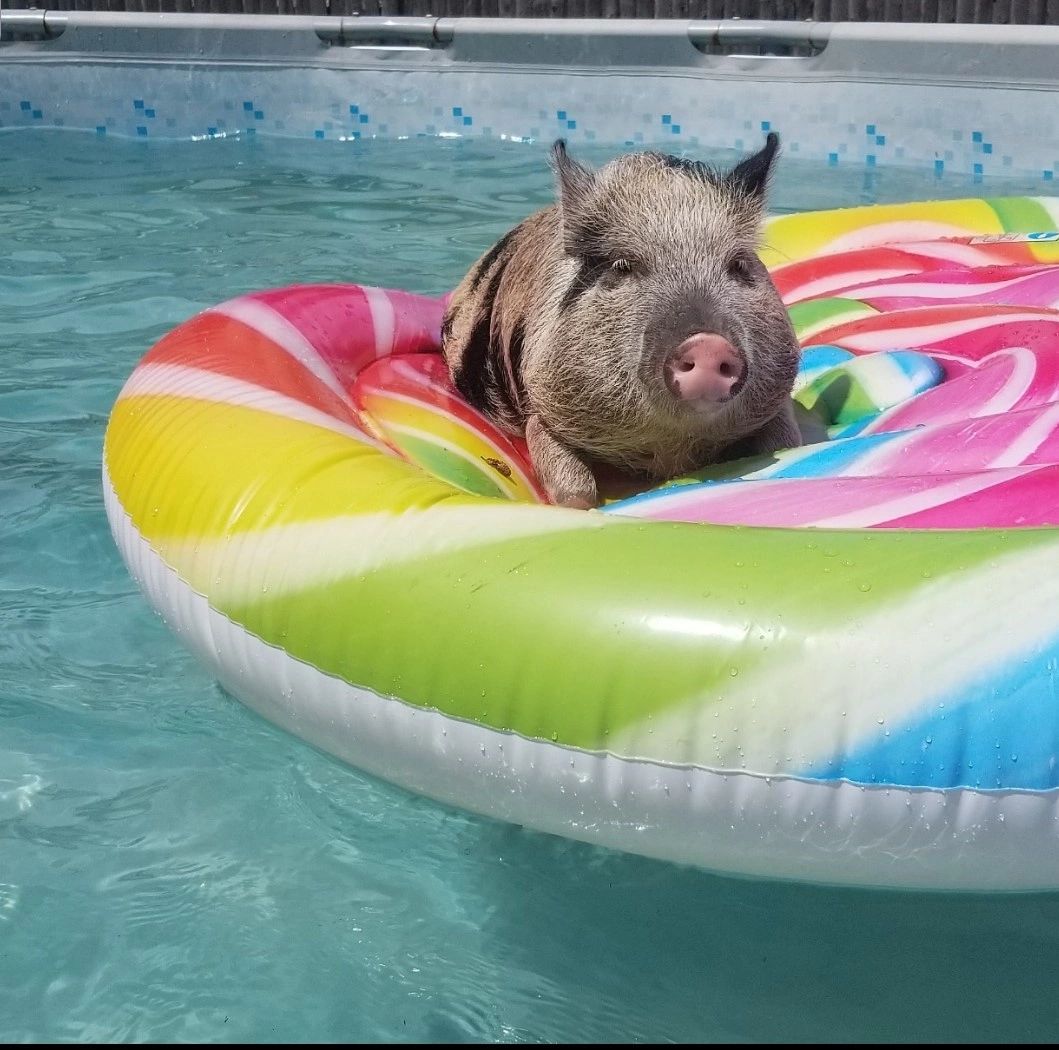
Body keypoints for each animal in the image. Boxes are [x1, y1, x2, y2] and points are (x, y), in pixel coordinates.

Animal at [441, 132, 801, 508]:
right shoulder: (543, 401)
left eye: (739, 264)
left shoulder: (775, 398)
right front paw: (582, 507)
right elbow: (568, 474)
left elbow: (785, 442)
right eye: (622, 265)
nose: (707, 343)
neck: (670, 450)